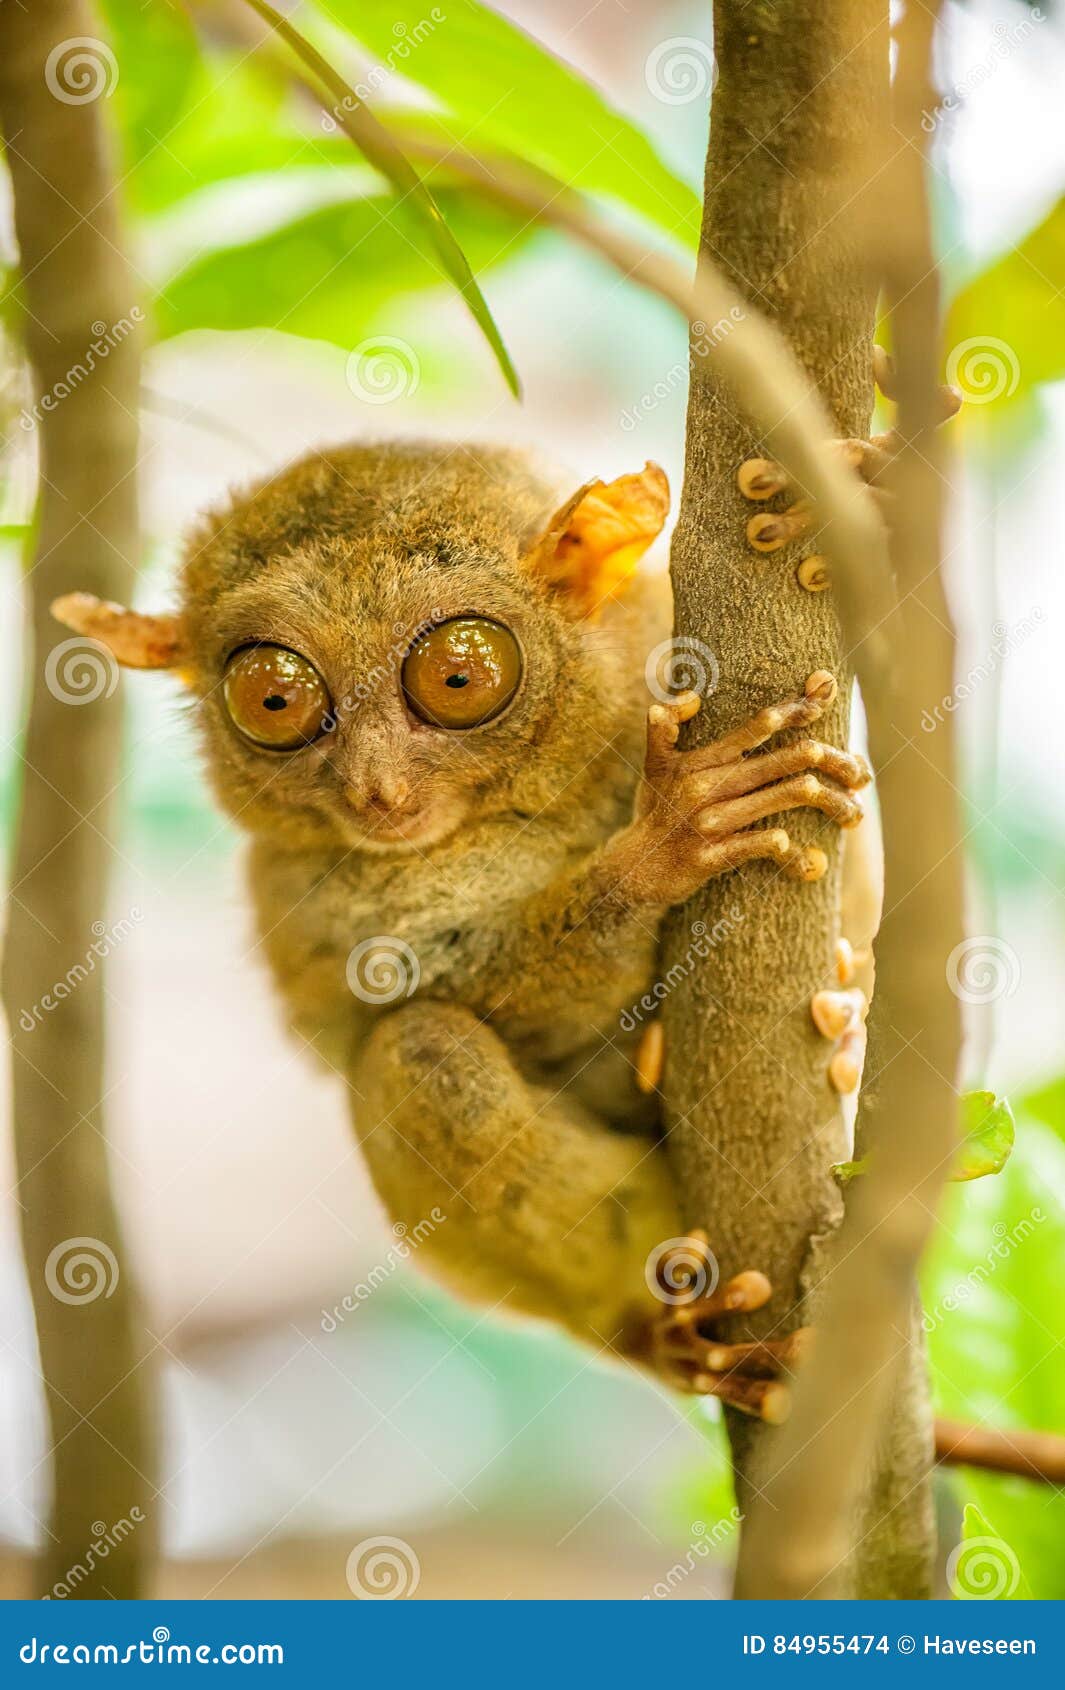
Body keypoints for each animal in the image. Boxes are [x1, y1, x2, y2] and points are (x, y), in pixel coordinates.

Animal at [53, 430, 896, 1424]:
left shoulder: (662, 631)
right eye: (274, 701)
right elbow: (447, 1002)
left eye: (458, 676)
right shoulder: (311, 892)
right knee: (418, 1054)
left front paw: (837, 497)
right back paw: (659, 1330)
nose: (376, 790)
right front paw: (667, 842)